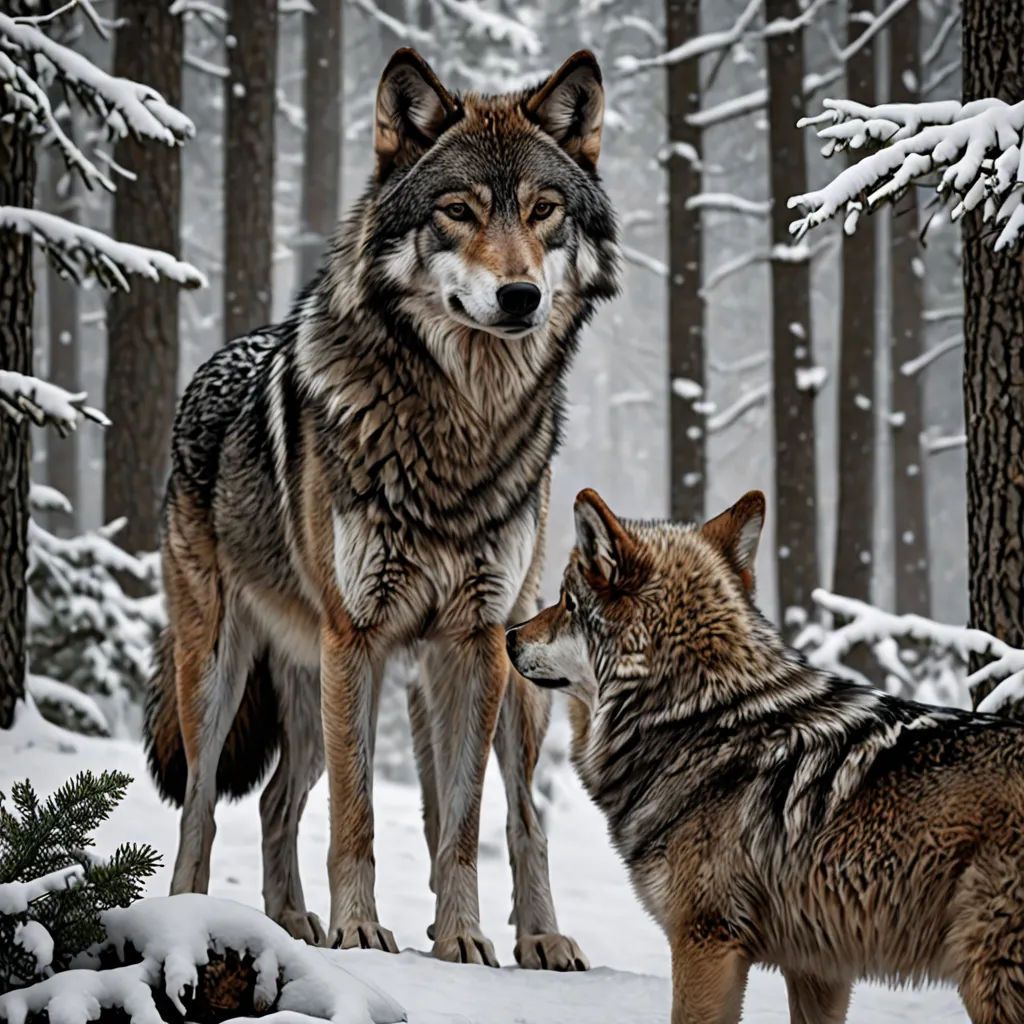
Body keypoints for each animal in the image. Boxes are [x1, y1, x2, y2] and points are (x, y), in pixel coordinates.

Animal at [143, 49, 619, 969]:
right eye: (458, 210)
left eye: (543, 211)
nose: (520, 296)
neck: (459, 425)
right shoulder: (355, 637)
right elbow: (355, 814)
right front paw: (362, 932)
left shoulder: (474, 641)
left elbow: (464, 824)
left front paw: (462, 936)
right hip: (226, 670)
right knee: (207, 807)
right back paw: (201, 919)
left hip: (482, 679)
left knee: (504, 815)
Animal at [507, 488, 1024, 1023]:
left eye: (566, 602)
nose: (509, 636)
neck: (697, 717)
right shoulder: (820, 969)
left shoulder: (706, 940)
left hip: (990, 980)